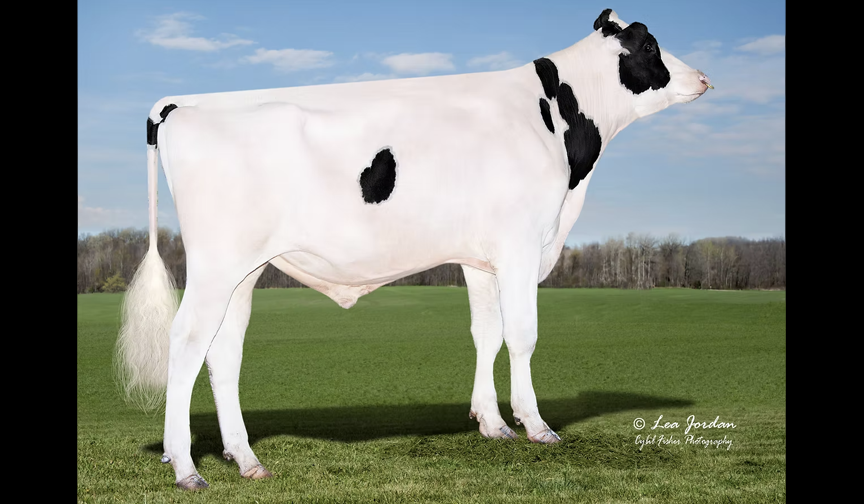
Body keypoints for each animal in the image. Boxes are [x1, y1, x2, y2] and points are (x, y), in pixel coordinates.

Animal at [116, 9, 712, 490]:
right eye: (650, 46)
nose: (704, 79)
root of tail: (185, 103)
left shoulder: (480, 258)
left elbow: (486, 333)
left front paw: (492, 423)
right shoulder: (519, 245)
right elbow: (522, 335)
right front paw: (536, 425)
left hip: (244, 269)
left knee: (223, 351)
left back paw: (246, 460)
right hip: (216, 263)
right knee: (186, 342)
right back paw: (186, 467)